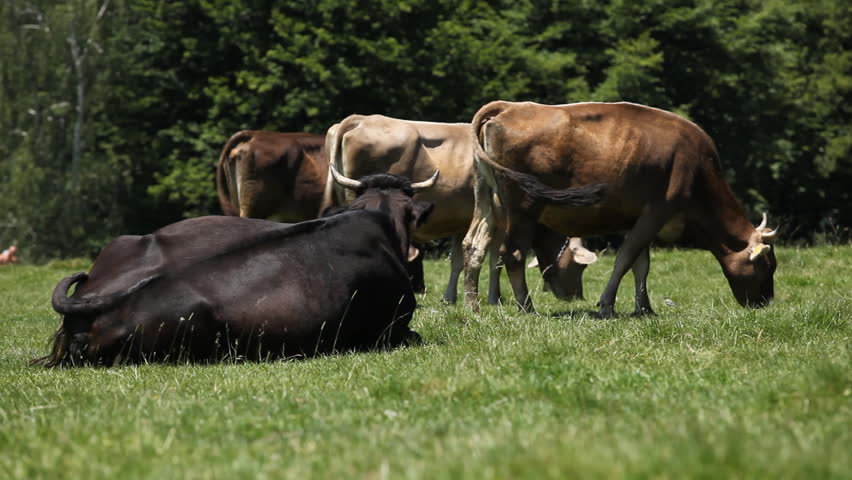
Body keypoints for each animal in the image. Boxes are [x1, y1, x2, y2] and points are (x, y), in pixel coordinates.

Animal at [322, 114, 597, 305]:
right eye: (580, 266)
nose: (576, 296)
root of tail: (359, 119)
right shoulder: (500, 222)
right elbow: (495, 259)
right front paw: (494, 298)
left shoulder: (459, 223)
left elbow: (457, 261)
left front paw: (450, 297)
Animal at [462, 101, 778, 317]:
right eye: (767, 265)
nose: (766, 302)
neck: (698, 169)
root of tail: (509, 107)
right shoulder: (656, 212)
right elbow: (625, 259)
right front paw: (607, 305)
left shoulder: (637, 218)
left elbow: (641, 265)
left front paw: (644, 307)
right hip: (522, 208)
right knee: (513, 254)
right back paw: (527, 307)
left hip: (488, 203)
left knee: (474, 245)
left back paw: (472, 305)